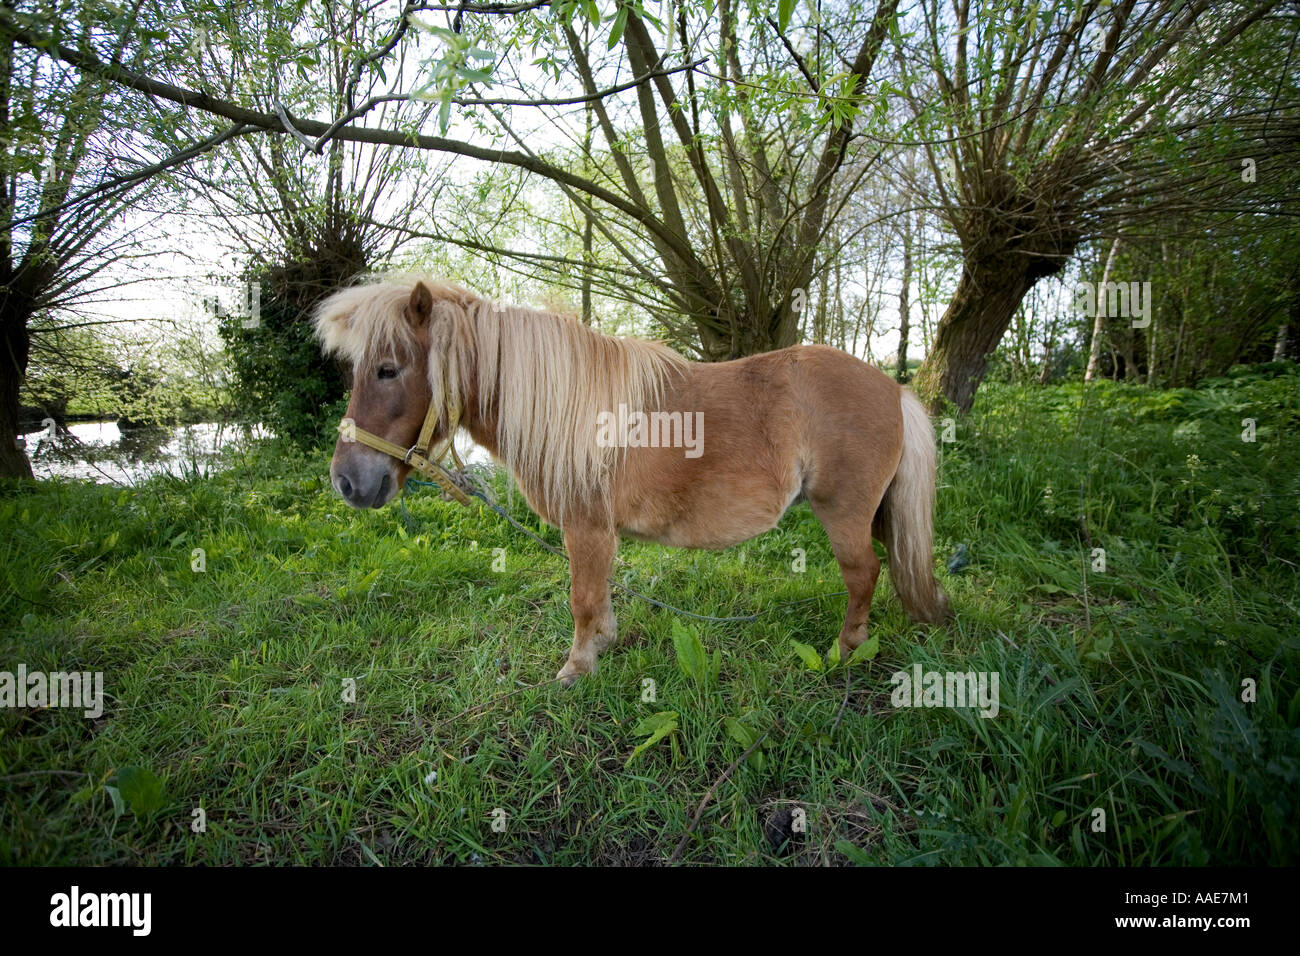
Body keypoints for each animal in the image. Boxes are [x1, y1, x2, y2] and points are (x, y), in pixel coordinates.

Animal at [314, 277, 950, 685]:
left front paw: (576, 668)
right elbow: (600, 596)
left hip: (844, 513)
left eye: (388, 370)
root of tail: (893, 388)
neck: (568, 408)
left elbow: (581, 598)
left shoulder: (586, 528)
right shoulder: (598, 534)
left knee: (864, 575)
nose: (347, 481)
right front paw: (604, 645)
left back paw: (846, 652)